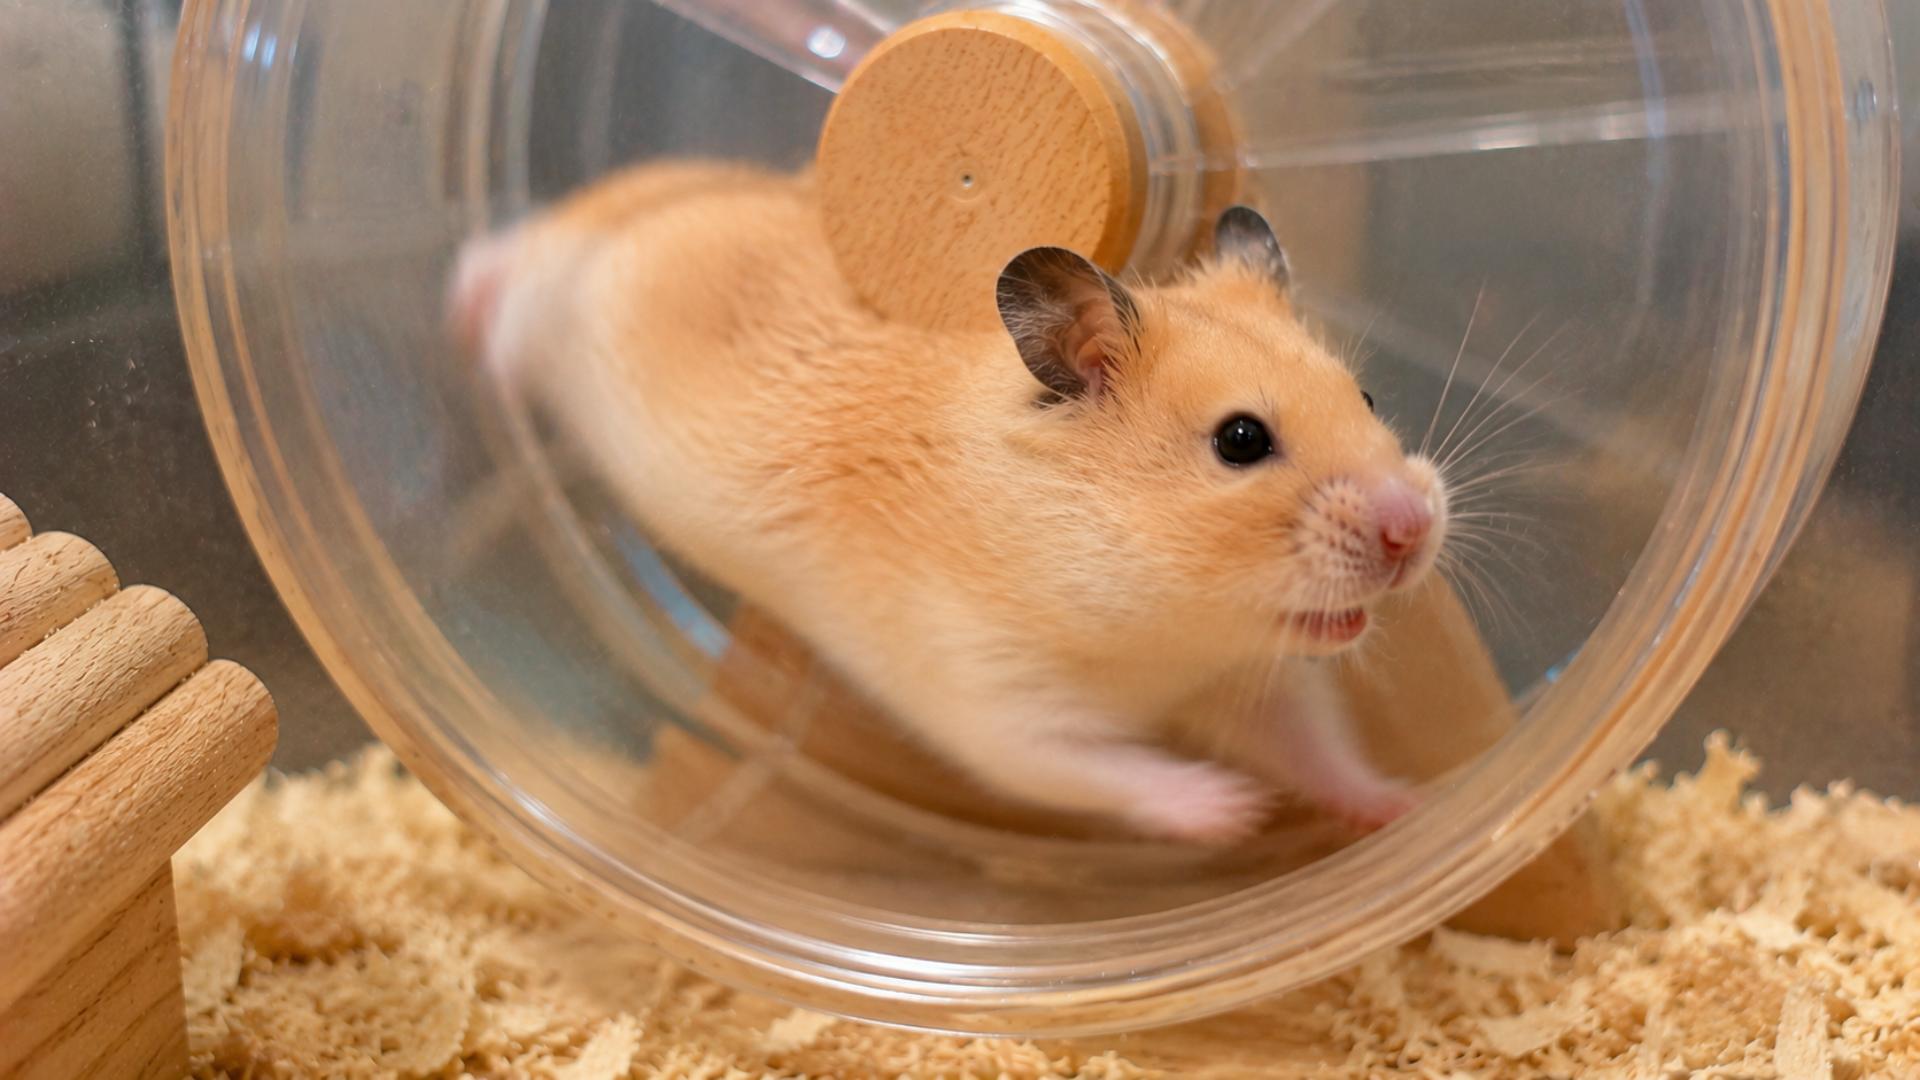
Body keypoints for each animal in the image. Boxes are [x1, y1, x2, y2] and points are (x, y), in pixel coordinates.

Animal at [449, 162, 1448, 844]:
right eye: (1240, 440)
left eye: (1365, 397)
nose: (1415, 528)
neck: (1154, 628)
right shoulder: (988, 697)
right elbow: (1098, 769)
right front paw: (1229, 810)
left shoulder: (1258, 683)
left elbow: (1320, 746)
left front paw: (1402, 806)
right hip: (562, 286)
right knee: (519, 254)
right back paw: (469, 316)